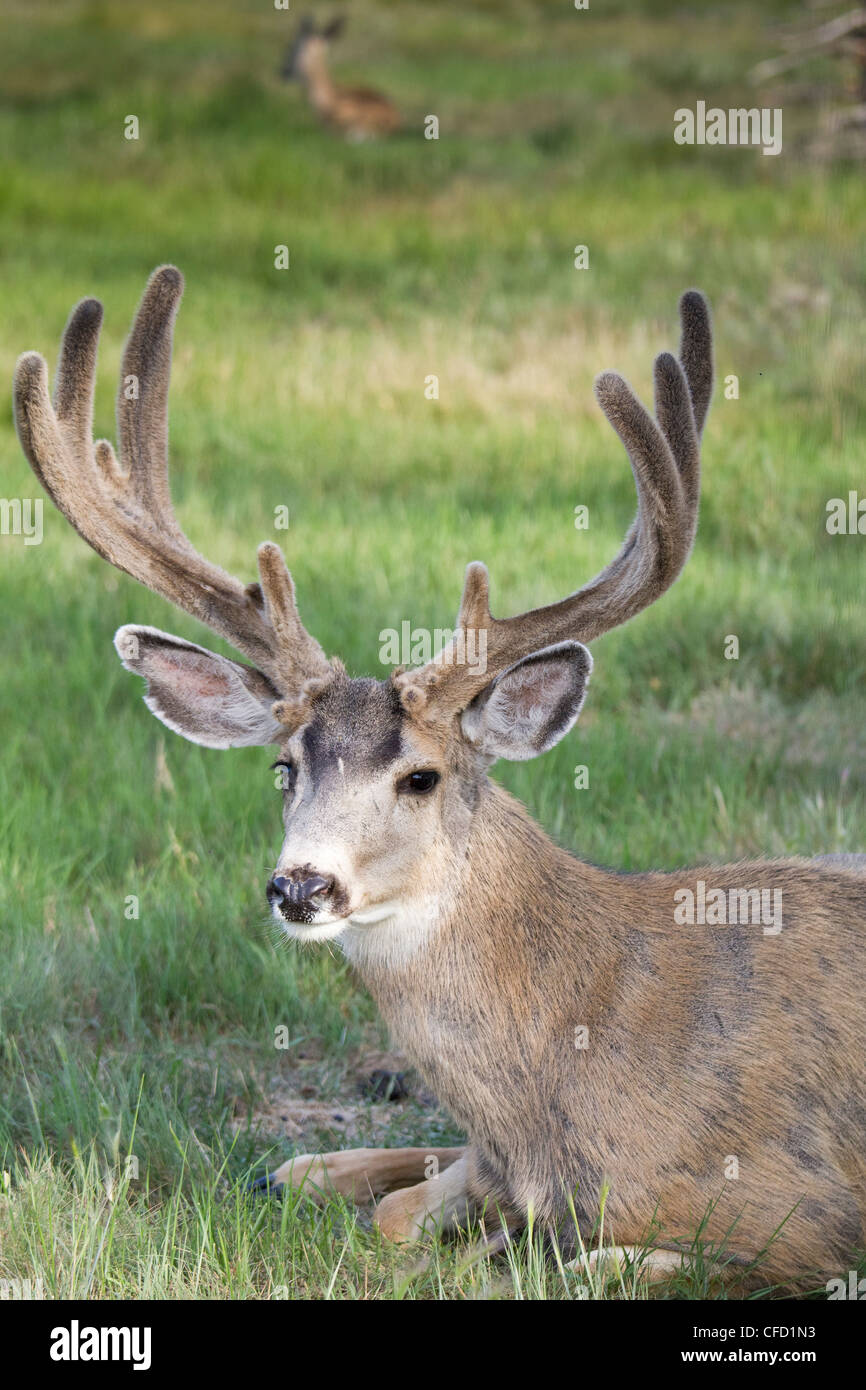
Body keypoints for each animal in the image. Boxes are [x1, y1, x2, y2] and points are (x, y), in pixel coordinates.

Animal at [13, 266, 866, 1290]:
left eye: (420, 777)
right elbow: (398, 1213)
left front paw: (522, 1244)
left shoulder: (803, 1208)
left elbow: (592, 1262)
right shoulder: (492, 1161)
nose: (302, 885)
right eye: (283, 768)